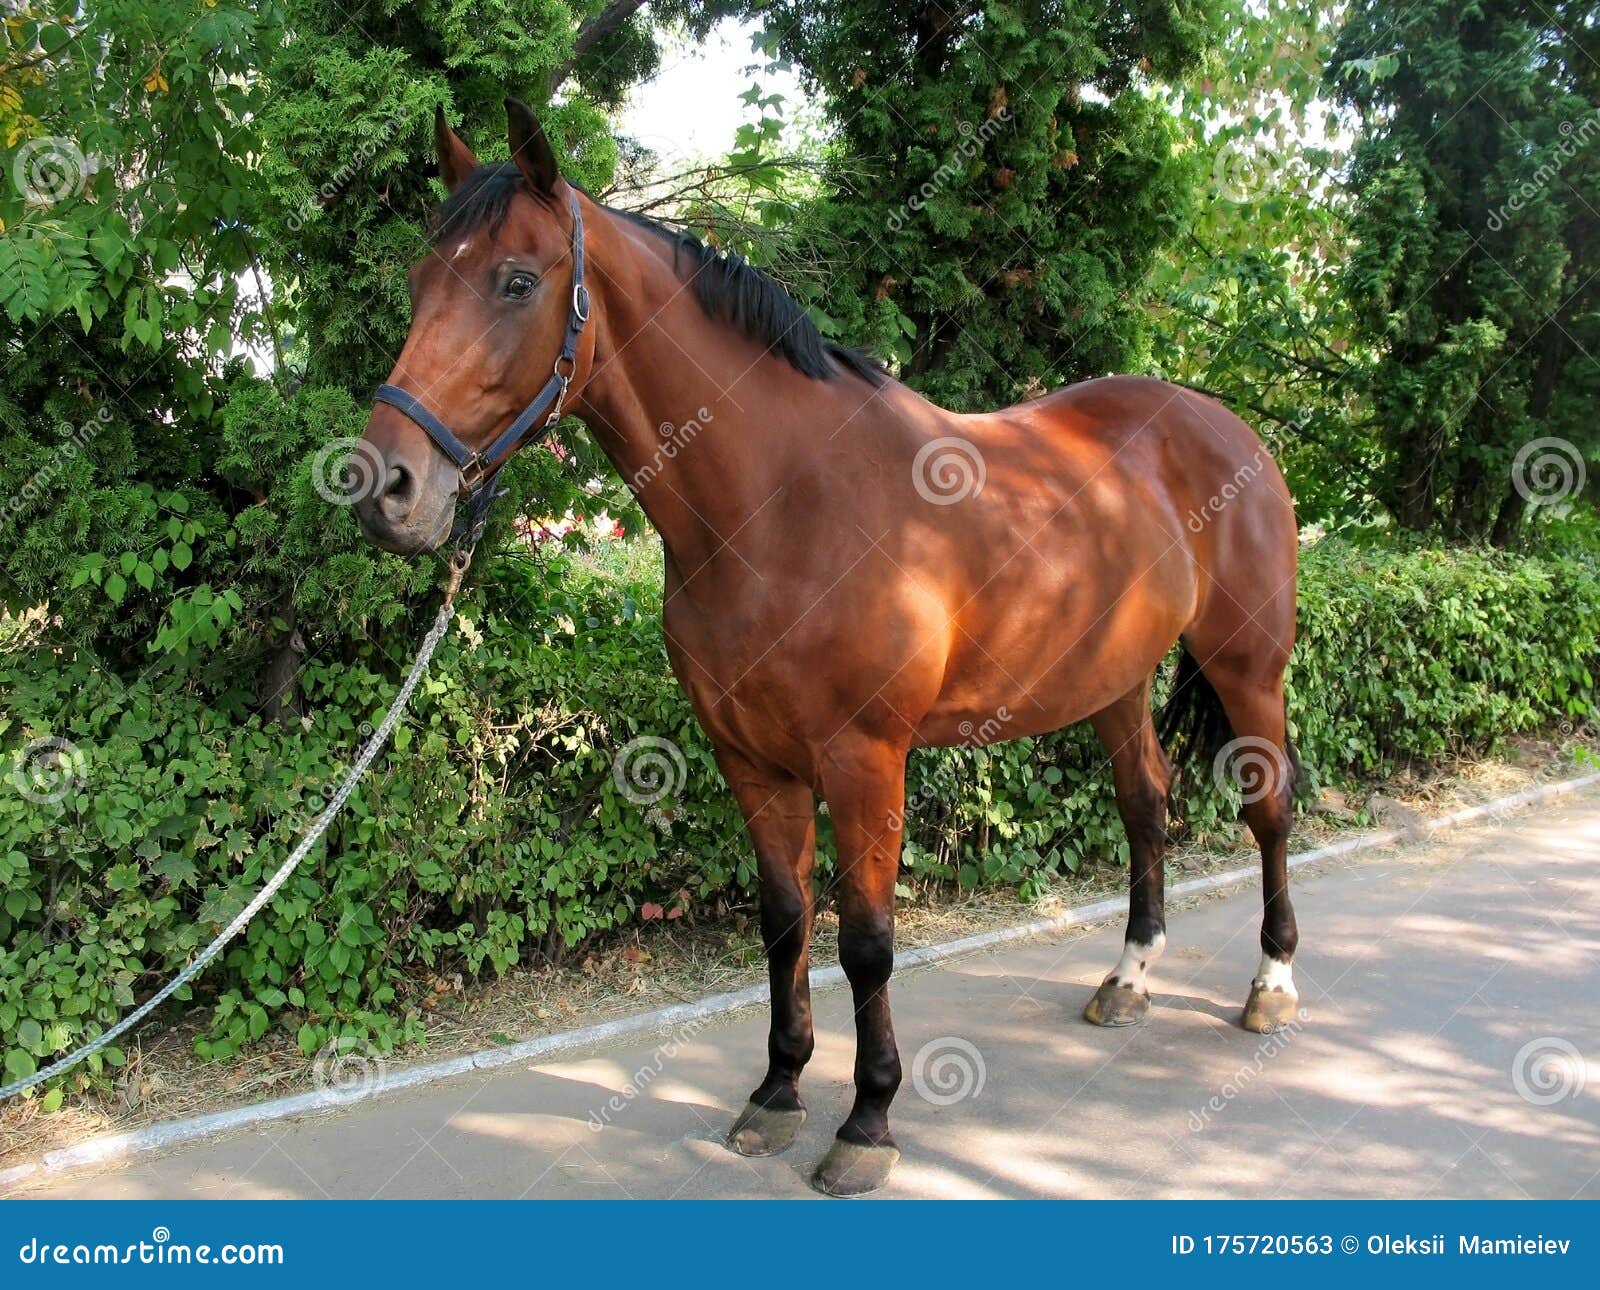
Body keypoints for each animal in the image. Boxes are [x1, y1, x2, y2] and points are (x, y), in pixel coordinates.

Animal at [354, 100, 1301, 1197]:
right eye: (420, 281)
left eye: (514, 281)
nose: (386, 487)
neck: (780, 504)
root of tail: (1219, 423)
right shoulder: (751, 762)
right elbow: (783, 923)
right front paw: (775, 1093)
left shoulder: (864, 763)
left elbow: (867, 942)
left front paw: (868, 1121)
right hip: (1112, 680)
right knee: (1145, 806)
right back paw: (1129, 977)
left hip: (1248, 668)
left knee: (1268, 807)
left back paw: (1272, 983)